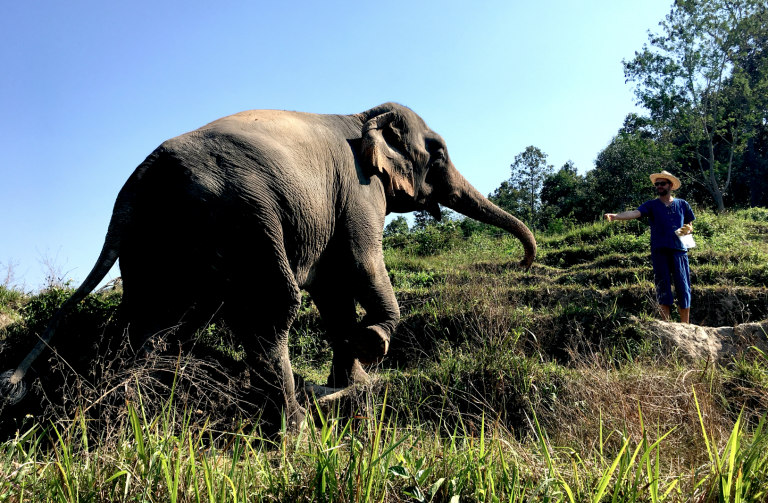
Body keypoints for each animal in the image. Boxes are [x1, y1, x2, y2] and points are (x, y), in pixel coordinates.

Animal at [0, 102, 536, 429]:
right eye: (438, 152)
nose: (525, 262)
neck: (362, 111)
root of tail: (133, 185)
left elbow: (334, 292)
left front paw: (354, 387)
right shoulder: (358, 190)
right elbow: (360, 263)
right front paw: (374, 343)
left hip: (159, 243)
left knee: (156, 323)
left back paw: (137, 415)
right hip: (238, 215)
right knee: (271, 308)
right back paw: (292, 429)